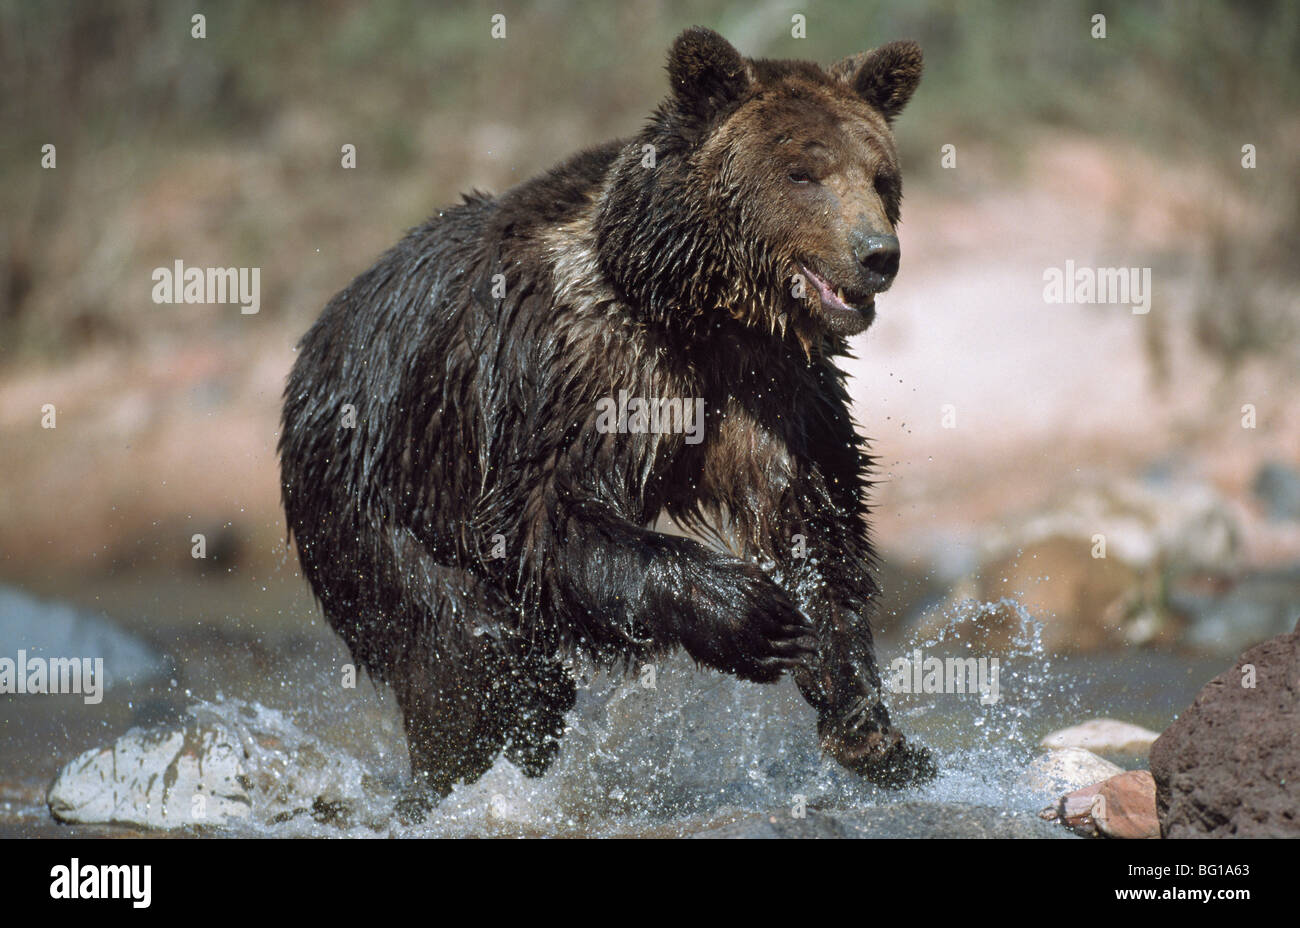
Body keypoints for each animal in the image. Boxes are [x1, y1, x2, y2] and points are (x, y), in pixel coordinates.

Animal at [279, 27, 935, 817]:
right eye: (804, 172)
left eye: (880, 176)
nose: (878, 255)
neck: (689, 303)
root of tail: (314, 344)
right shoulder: (578, 368)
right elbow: (543, 518)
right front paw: (751, 614)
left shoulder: (775, 388)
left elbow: (811, 517)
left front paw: (871, 725)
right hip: (370, 497)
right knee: (466, 655)